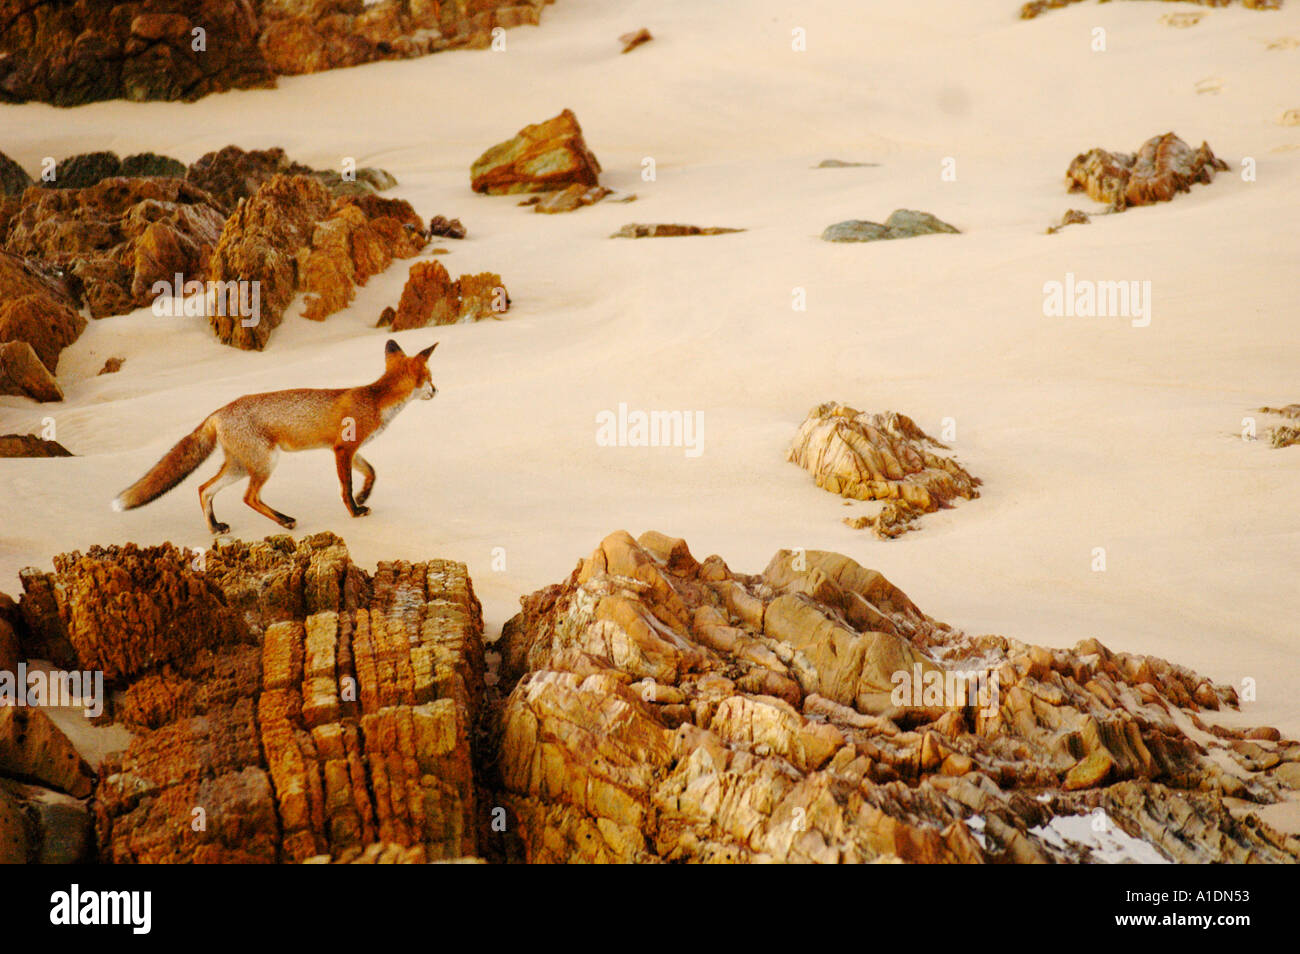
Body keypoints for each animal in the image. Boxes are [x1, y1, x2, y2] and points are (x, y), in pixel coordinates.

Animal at [112, 339, 438, 534]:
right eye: (431, 378)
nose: (437, 390)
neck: (375, 400)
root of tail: (218, 411)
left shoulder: (349, 450)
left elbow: (371, 473)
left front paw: (363, 496)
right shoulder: (342, 449)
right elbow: (345, 486)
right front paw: (354, 510)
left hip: (240, 466)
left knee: (204, 489)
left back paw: (216, 528)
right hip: (265, 462)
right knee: (248, 497)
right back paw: (284, 520)